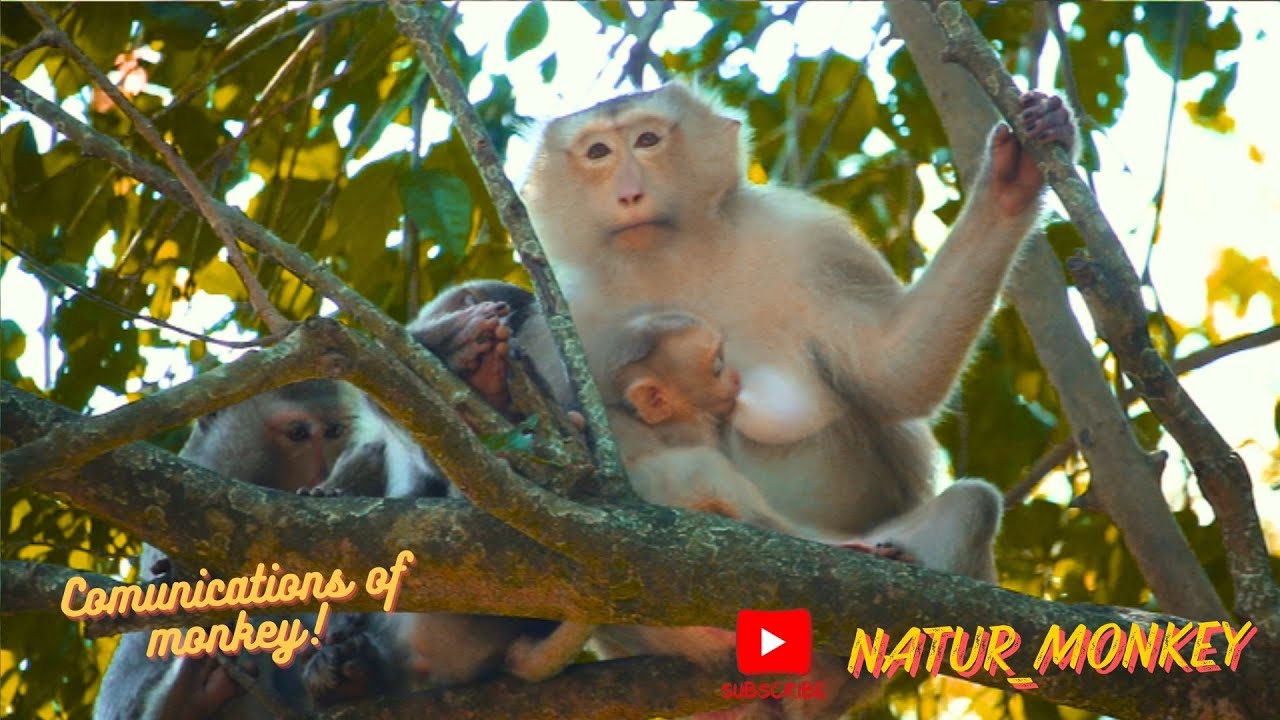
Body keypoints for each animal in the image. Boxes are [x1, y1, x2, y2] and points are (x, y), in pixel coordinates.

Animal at [511, 82, 1075, 717]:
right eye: (598, 152)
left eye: (648, 139)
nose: (629, 192)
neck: (663, 261)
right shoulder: (553, 322)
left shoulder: (804, 240)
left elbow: (895, 374)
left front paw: (1011, 182)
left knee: (970, 505)